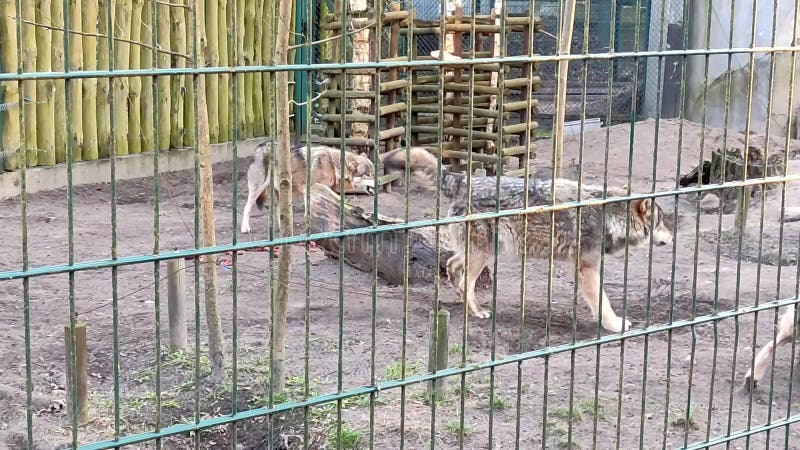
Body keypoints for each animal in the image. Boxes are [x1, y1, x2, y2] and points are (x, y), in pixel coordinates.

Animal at [241, 140, 375, 234]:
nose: (379, 183)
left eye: (373, 173)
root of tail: (259, 146)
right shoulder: (310, 191)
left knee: (279, 210)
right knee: (247, 206)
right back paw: (245, 228)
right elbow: (310, 213)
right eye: (367, 174)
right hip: (258, 189)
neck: (334, 166)